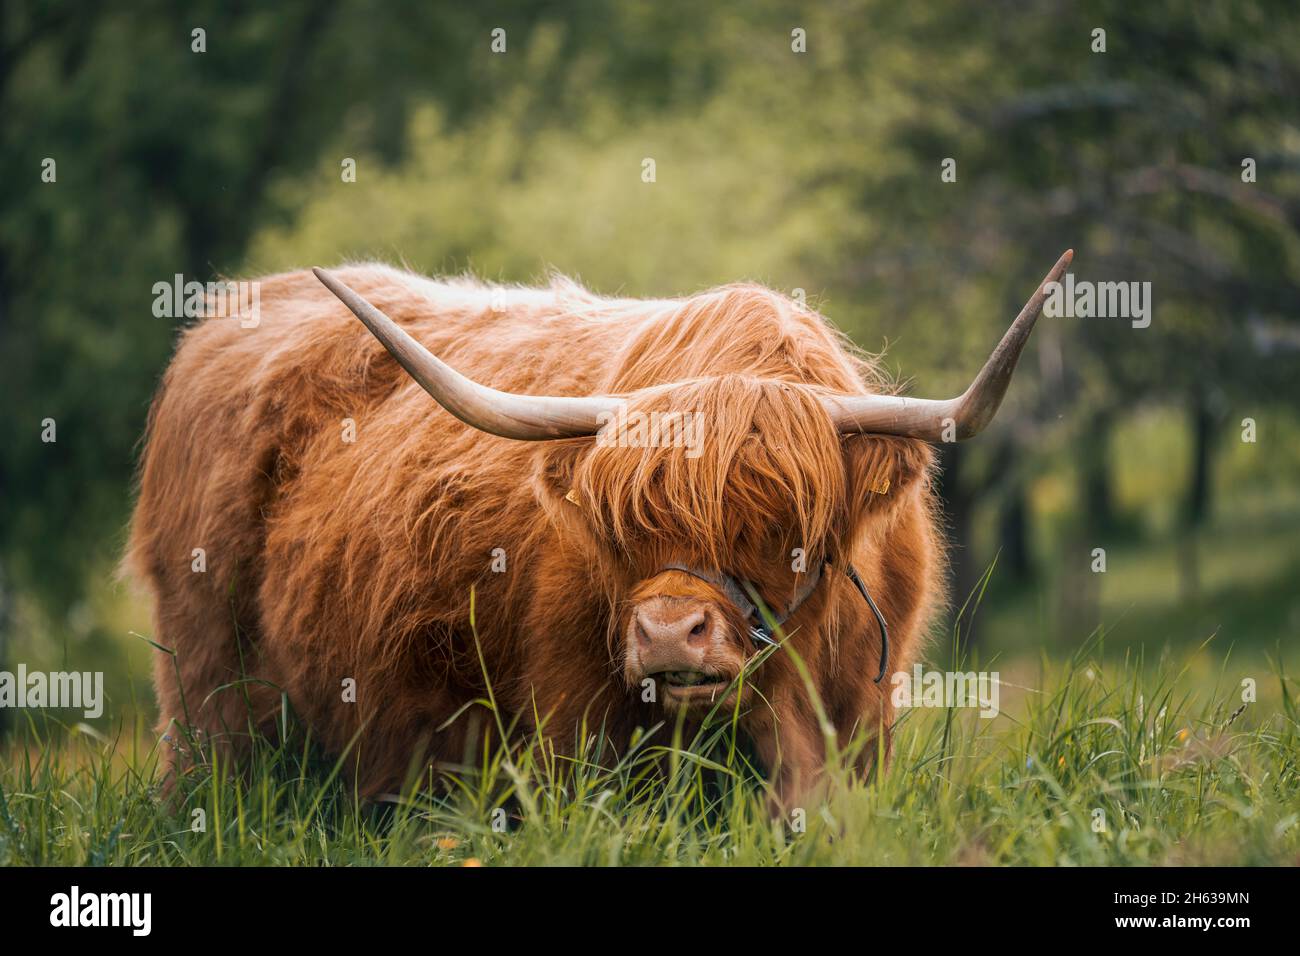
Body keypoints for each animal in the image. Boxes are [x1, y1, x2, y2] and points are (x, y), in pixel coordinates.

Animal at [125, 249, 1072, 809]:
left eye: (782, 526)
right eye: (626, 528)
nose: (668, 633)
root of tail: (236, 311)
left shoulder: (859, 729)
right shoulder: (567, 728)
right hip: (206, 682)